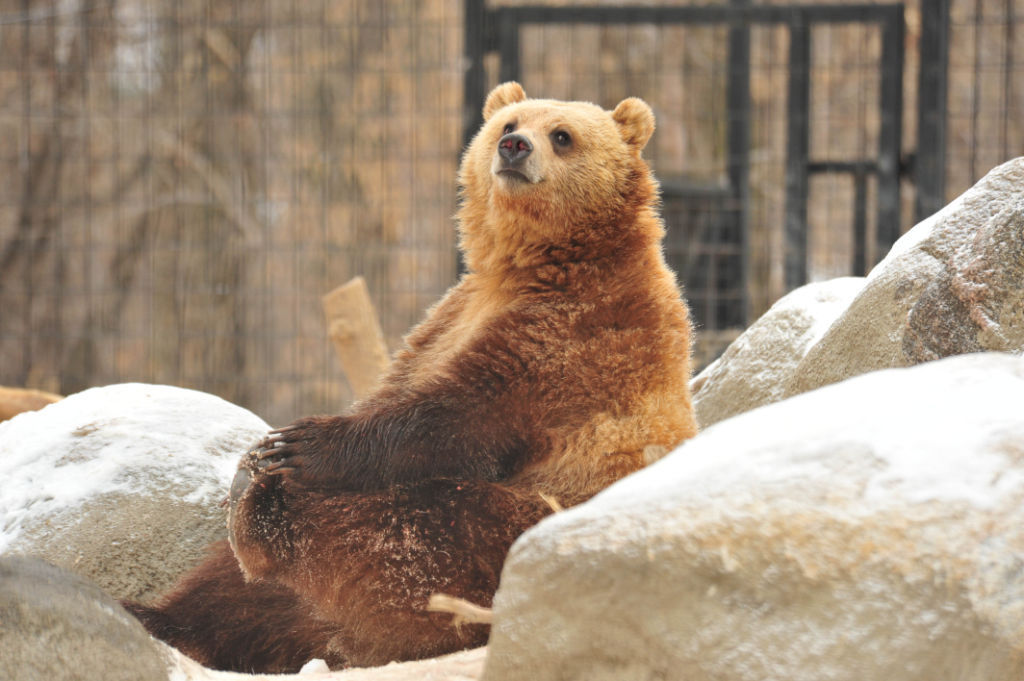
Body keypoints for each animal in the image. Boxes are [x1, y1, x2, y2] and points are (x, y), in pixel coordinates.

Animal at [125, 82, 698, 673]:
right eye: (509, 123)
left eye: (562, 135)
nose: (514, 147)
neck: (533, 262)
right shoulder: (449, 319)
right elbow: (399, 386)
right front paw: (269, 450)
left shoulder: (573, 338)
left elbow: (452, 416)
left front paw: (299, 442)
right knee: (228, 589)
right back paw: (156, 611)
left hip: (528, 522)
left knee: (410, 528)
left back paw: (261, 506)